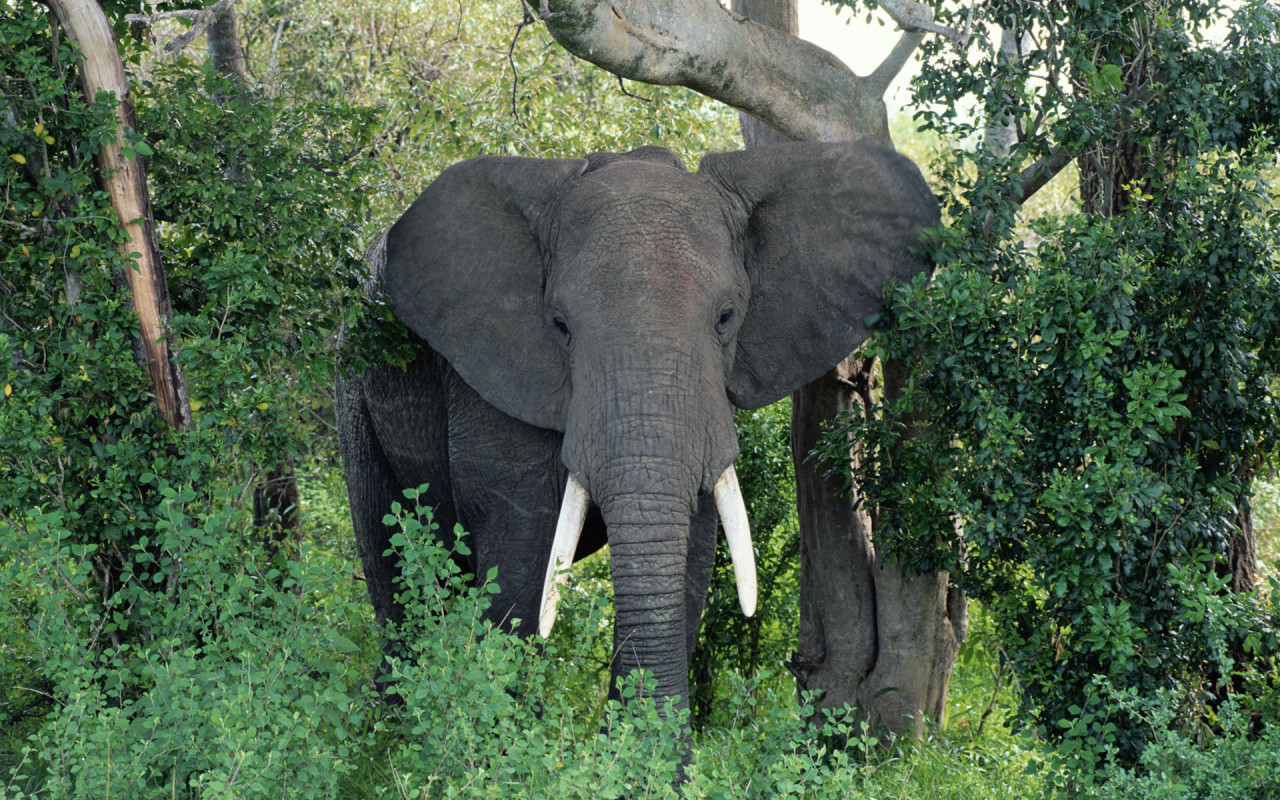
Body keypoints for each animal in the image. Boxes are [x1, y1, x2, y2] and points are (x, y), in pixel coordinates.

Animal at [336, 140, 939, 720]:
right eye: (560, 326)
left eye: (726, 317)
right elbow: (521, 553)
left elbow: (691, 551)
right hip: (353, 383)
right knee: (395, 563)